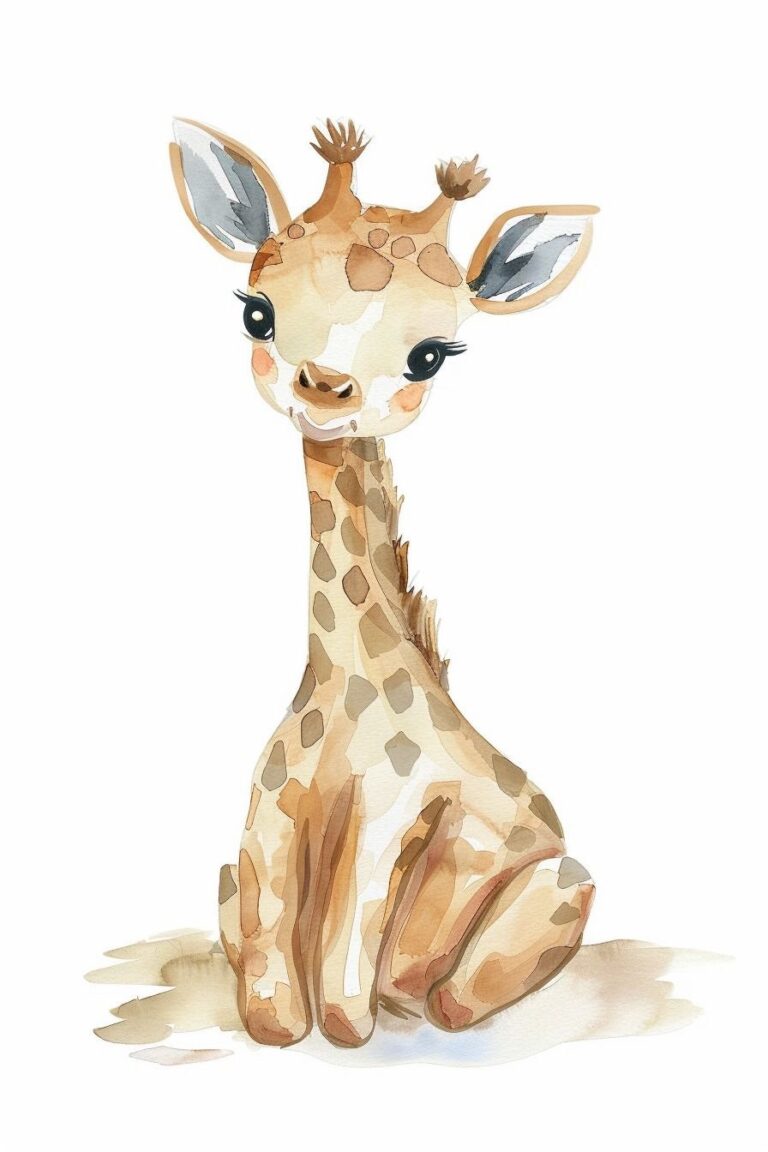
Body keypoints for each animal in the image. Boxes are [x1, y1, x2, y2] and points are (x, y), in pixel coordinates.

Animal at [170, 118, 599, 1048]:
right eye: (257, 312)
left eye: (429, 355)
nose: (326, 391)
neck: (346, 701)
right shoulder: (267, 820)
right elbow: (269, 993)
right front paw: (277, 1010)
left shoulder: (392, 823)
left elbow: (339, 1003)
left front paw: (355, 1017)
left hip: (564, 885)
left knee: (455, 995)